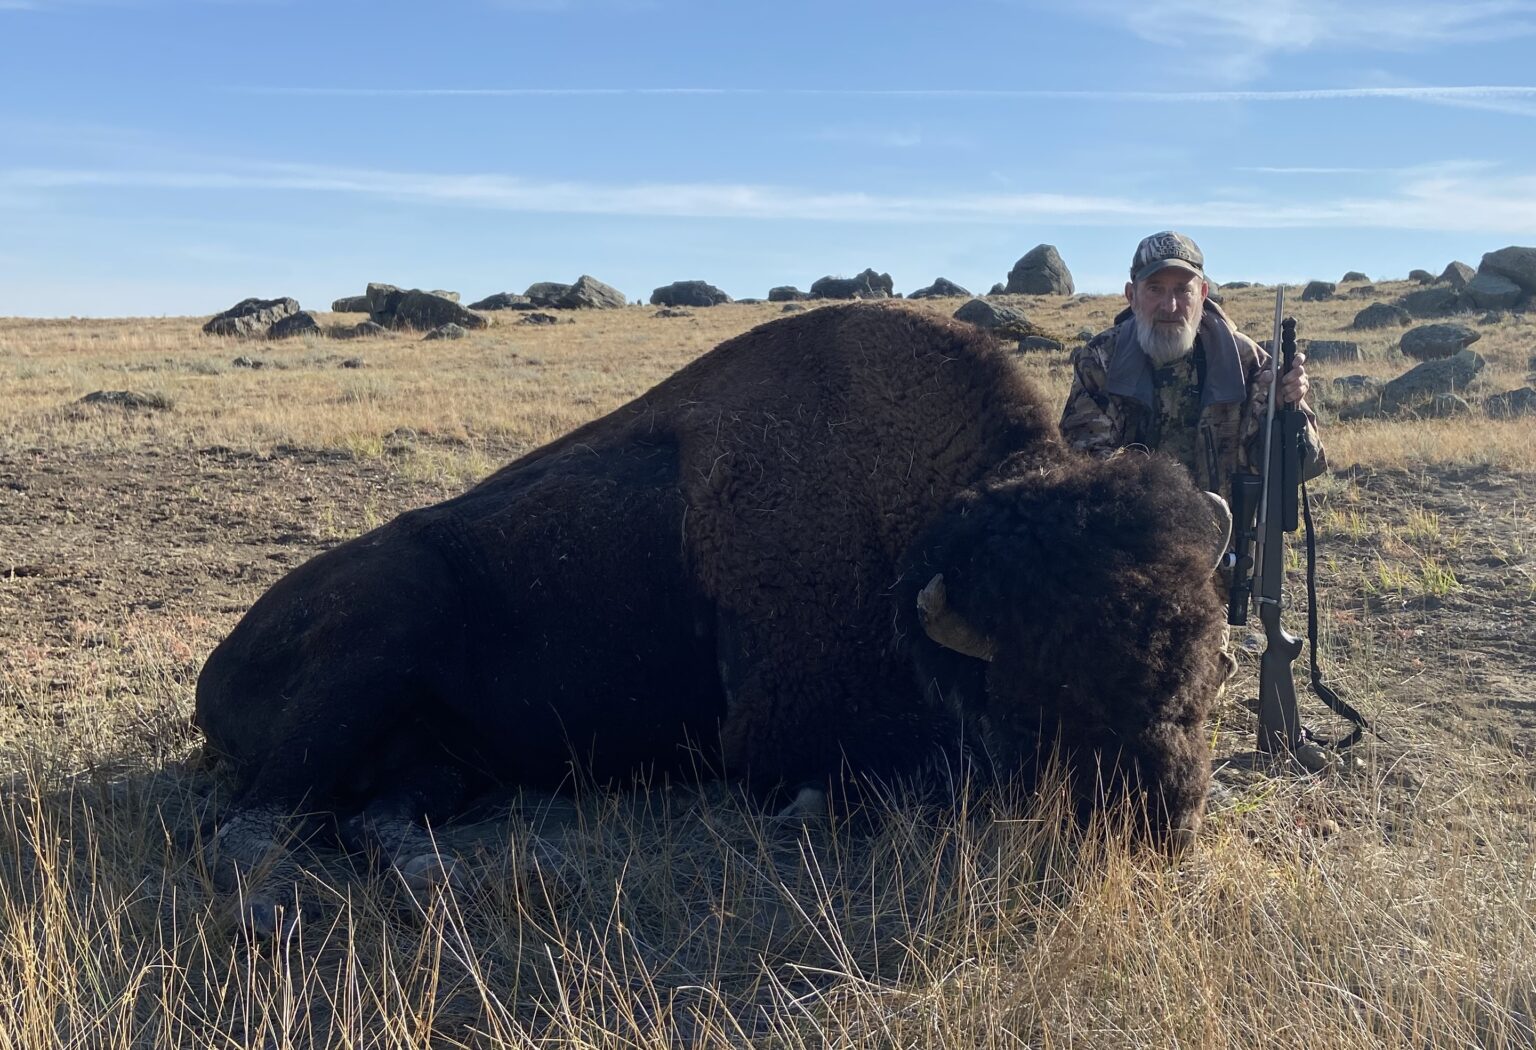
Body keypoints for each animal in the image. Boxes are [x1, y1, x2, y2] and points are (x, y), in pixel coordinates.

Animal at [196, 303, 1231, 930]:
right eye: (1040, 693)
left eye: (1207, 665)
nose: (1163, 825)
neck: (907, 537)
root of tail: (215, 666)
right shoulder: (781, 737)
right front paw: (808, 813)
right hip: (376, 644)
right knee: (251, 826)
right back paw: (282, 912)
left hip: (445, 762)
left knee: (375, 821)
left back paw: (482, 880)